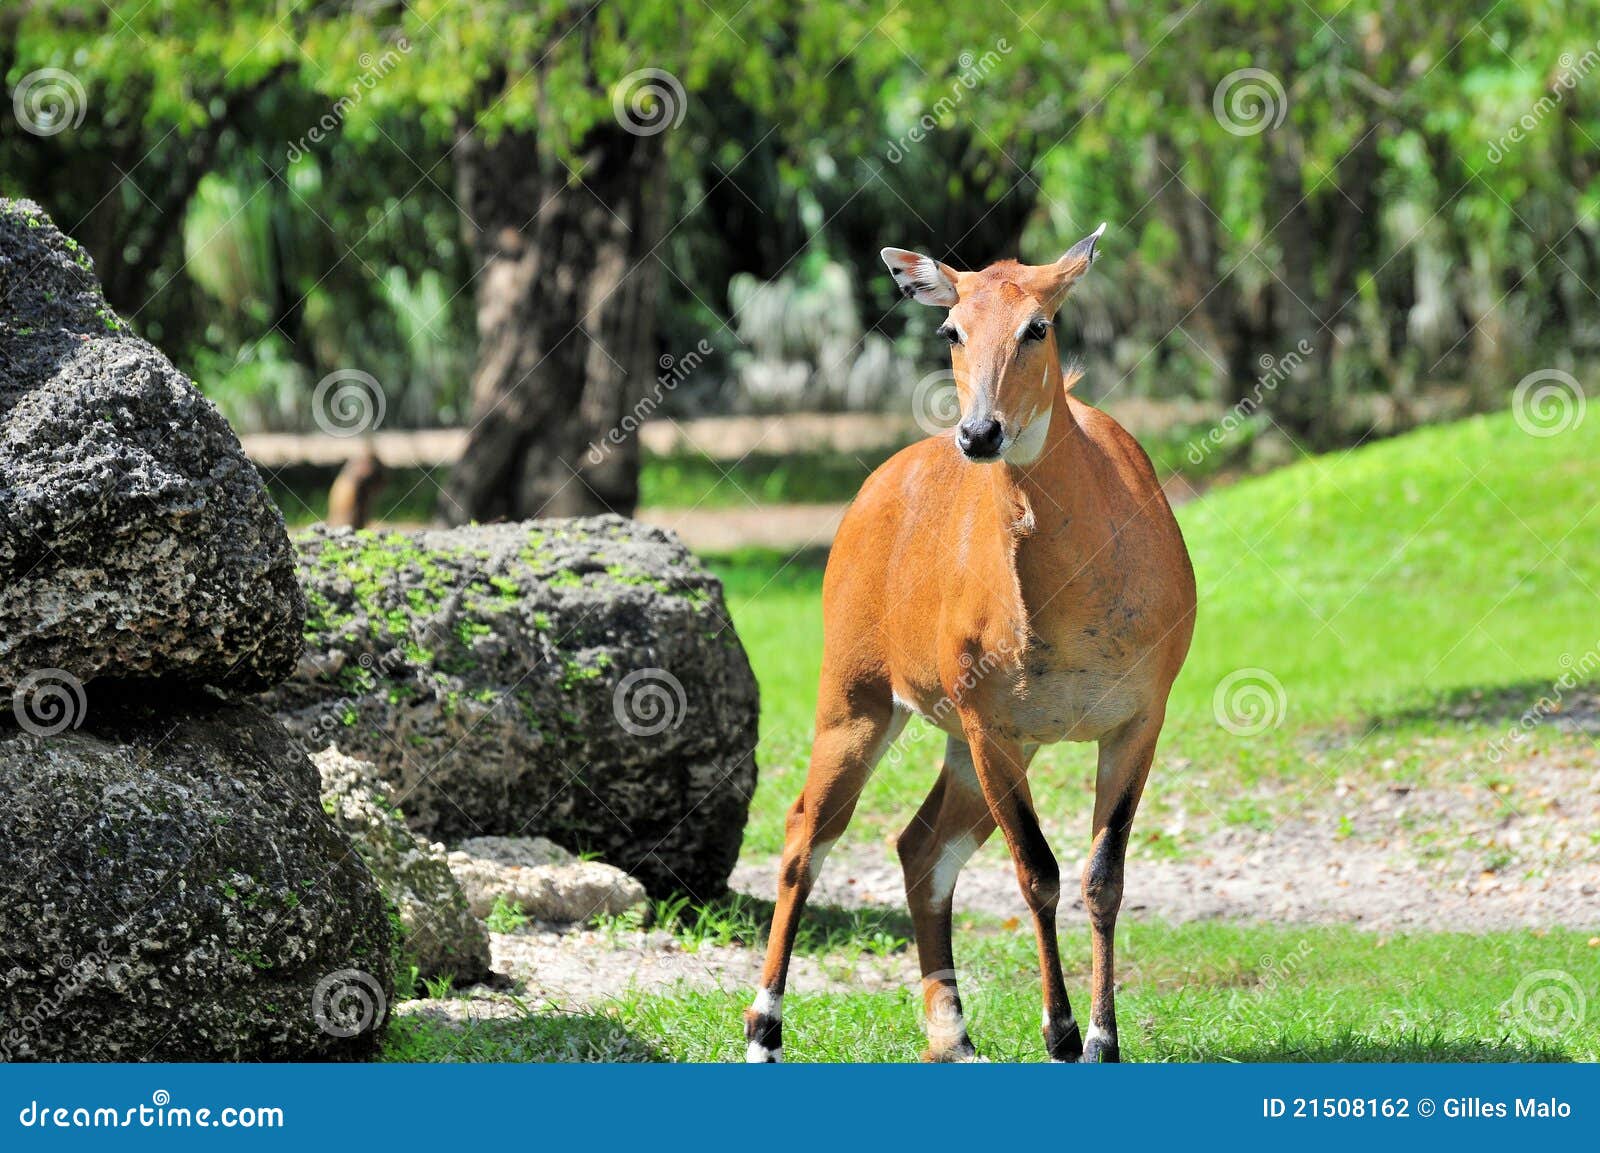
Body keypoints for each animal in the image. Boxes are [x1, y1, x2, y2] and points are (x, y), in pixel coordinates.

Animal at [743, 226, 1196, 1063]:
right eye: (952, 329)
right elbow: (1038, 870)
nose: (981, 432)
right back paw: (764, 1028)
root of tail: (872, 493)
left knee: (921, 847)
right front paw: (1061, 1032)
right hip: (859, 704)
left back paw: (952, 1035)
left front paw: (1104, 1039)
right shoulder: (992, 724)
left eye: (1038, 325)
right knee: (804, 835)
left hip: (971, 743)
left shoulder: (1136, 719)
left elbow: (1103, 875)